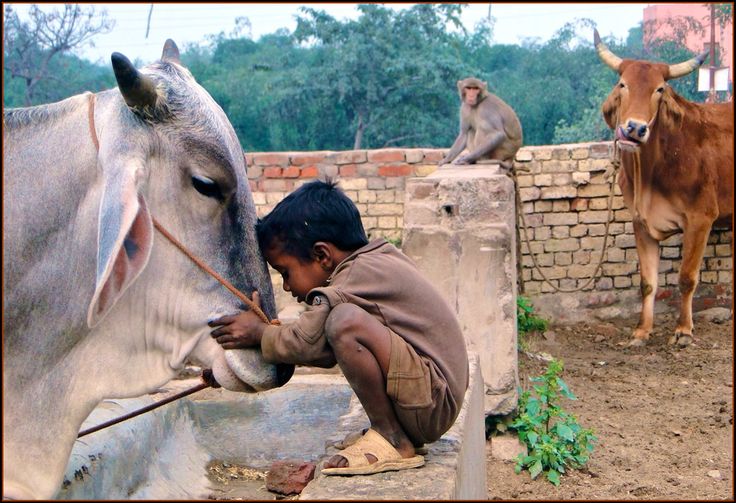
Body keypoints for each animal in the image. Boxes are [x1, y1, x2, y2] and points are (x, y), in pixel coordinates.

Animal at [594, 29, 734, 347]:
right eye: (623, 84)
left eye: (659, 89)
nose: (634, 128)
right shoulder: (641, 223)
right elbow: (648, 282)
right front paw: (642, 330)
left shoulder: (700, 219)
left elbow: (687, 277)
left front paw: (683, 330)